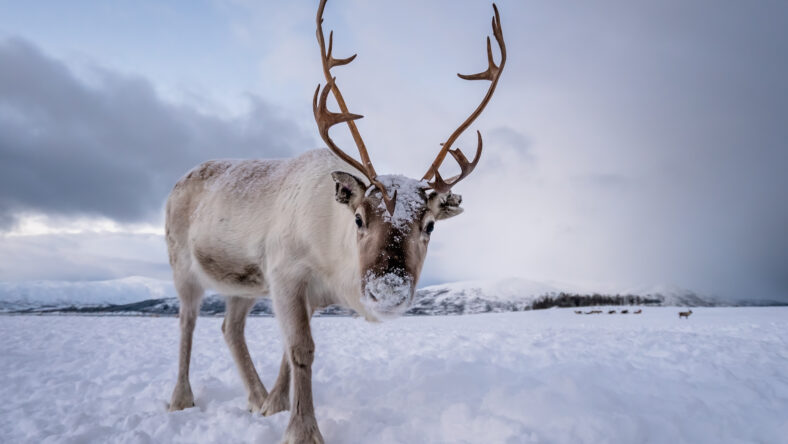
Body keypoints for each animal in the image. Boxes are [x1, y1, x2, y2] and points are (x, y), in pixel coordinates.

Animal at [163, 1, 506, 443]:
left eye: (429, 225)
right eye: (359, 218)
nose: (387, 290)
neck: (332, 261)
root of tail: (179, 180)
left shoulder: (301, 292)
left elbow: (287, 352)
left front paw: (275, 407)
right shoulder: (286, 274)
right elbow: (301, 350)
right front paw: (302, 430)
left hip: (243, 282)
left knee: (230, 328)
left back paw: (256, 398)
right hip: (182, 265)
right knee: (187, 322)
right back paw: (181, 398)